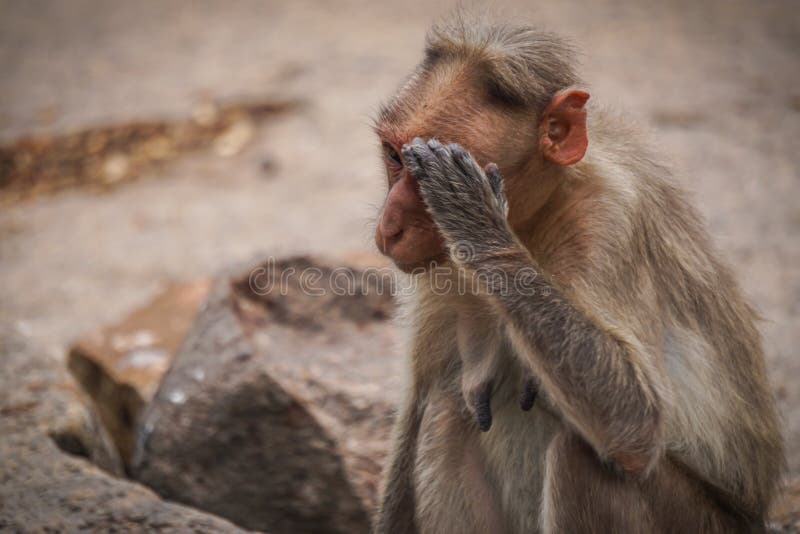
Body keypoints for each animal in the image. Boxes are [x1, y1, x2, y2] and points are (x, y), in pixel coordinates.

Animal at [371, 15, 784, 534]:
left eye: (415, 169)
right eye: (392, 155)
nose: (389, 226)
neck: (532, 221)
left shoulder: (609, 218)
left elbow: (636, 419)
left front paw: (476, 222)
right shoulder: (438, 268)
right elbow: (416, 410)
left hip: (701, 521)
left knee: (577, 459)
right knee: (445, 415)